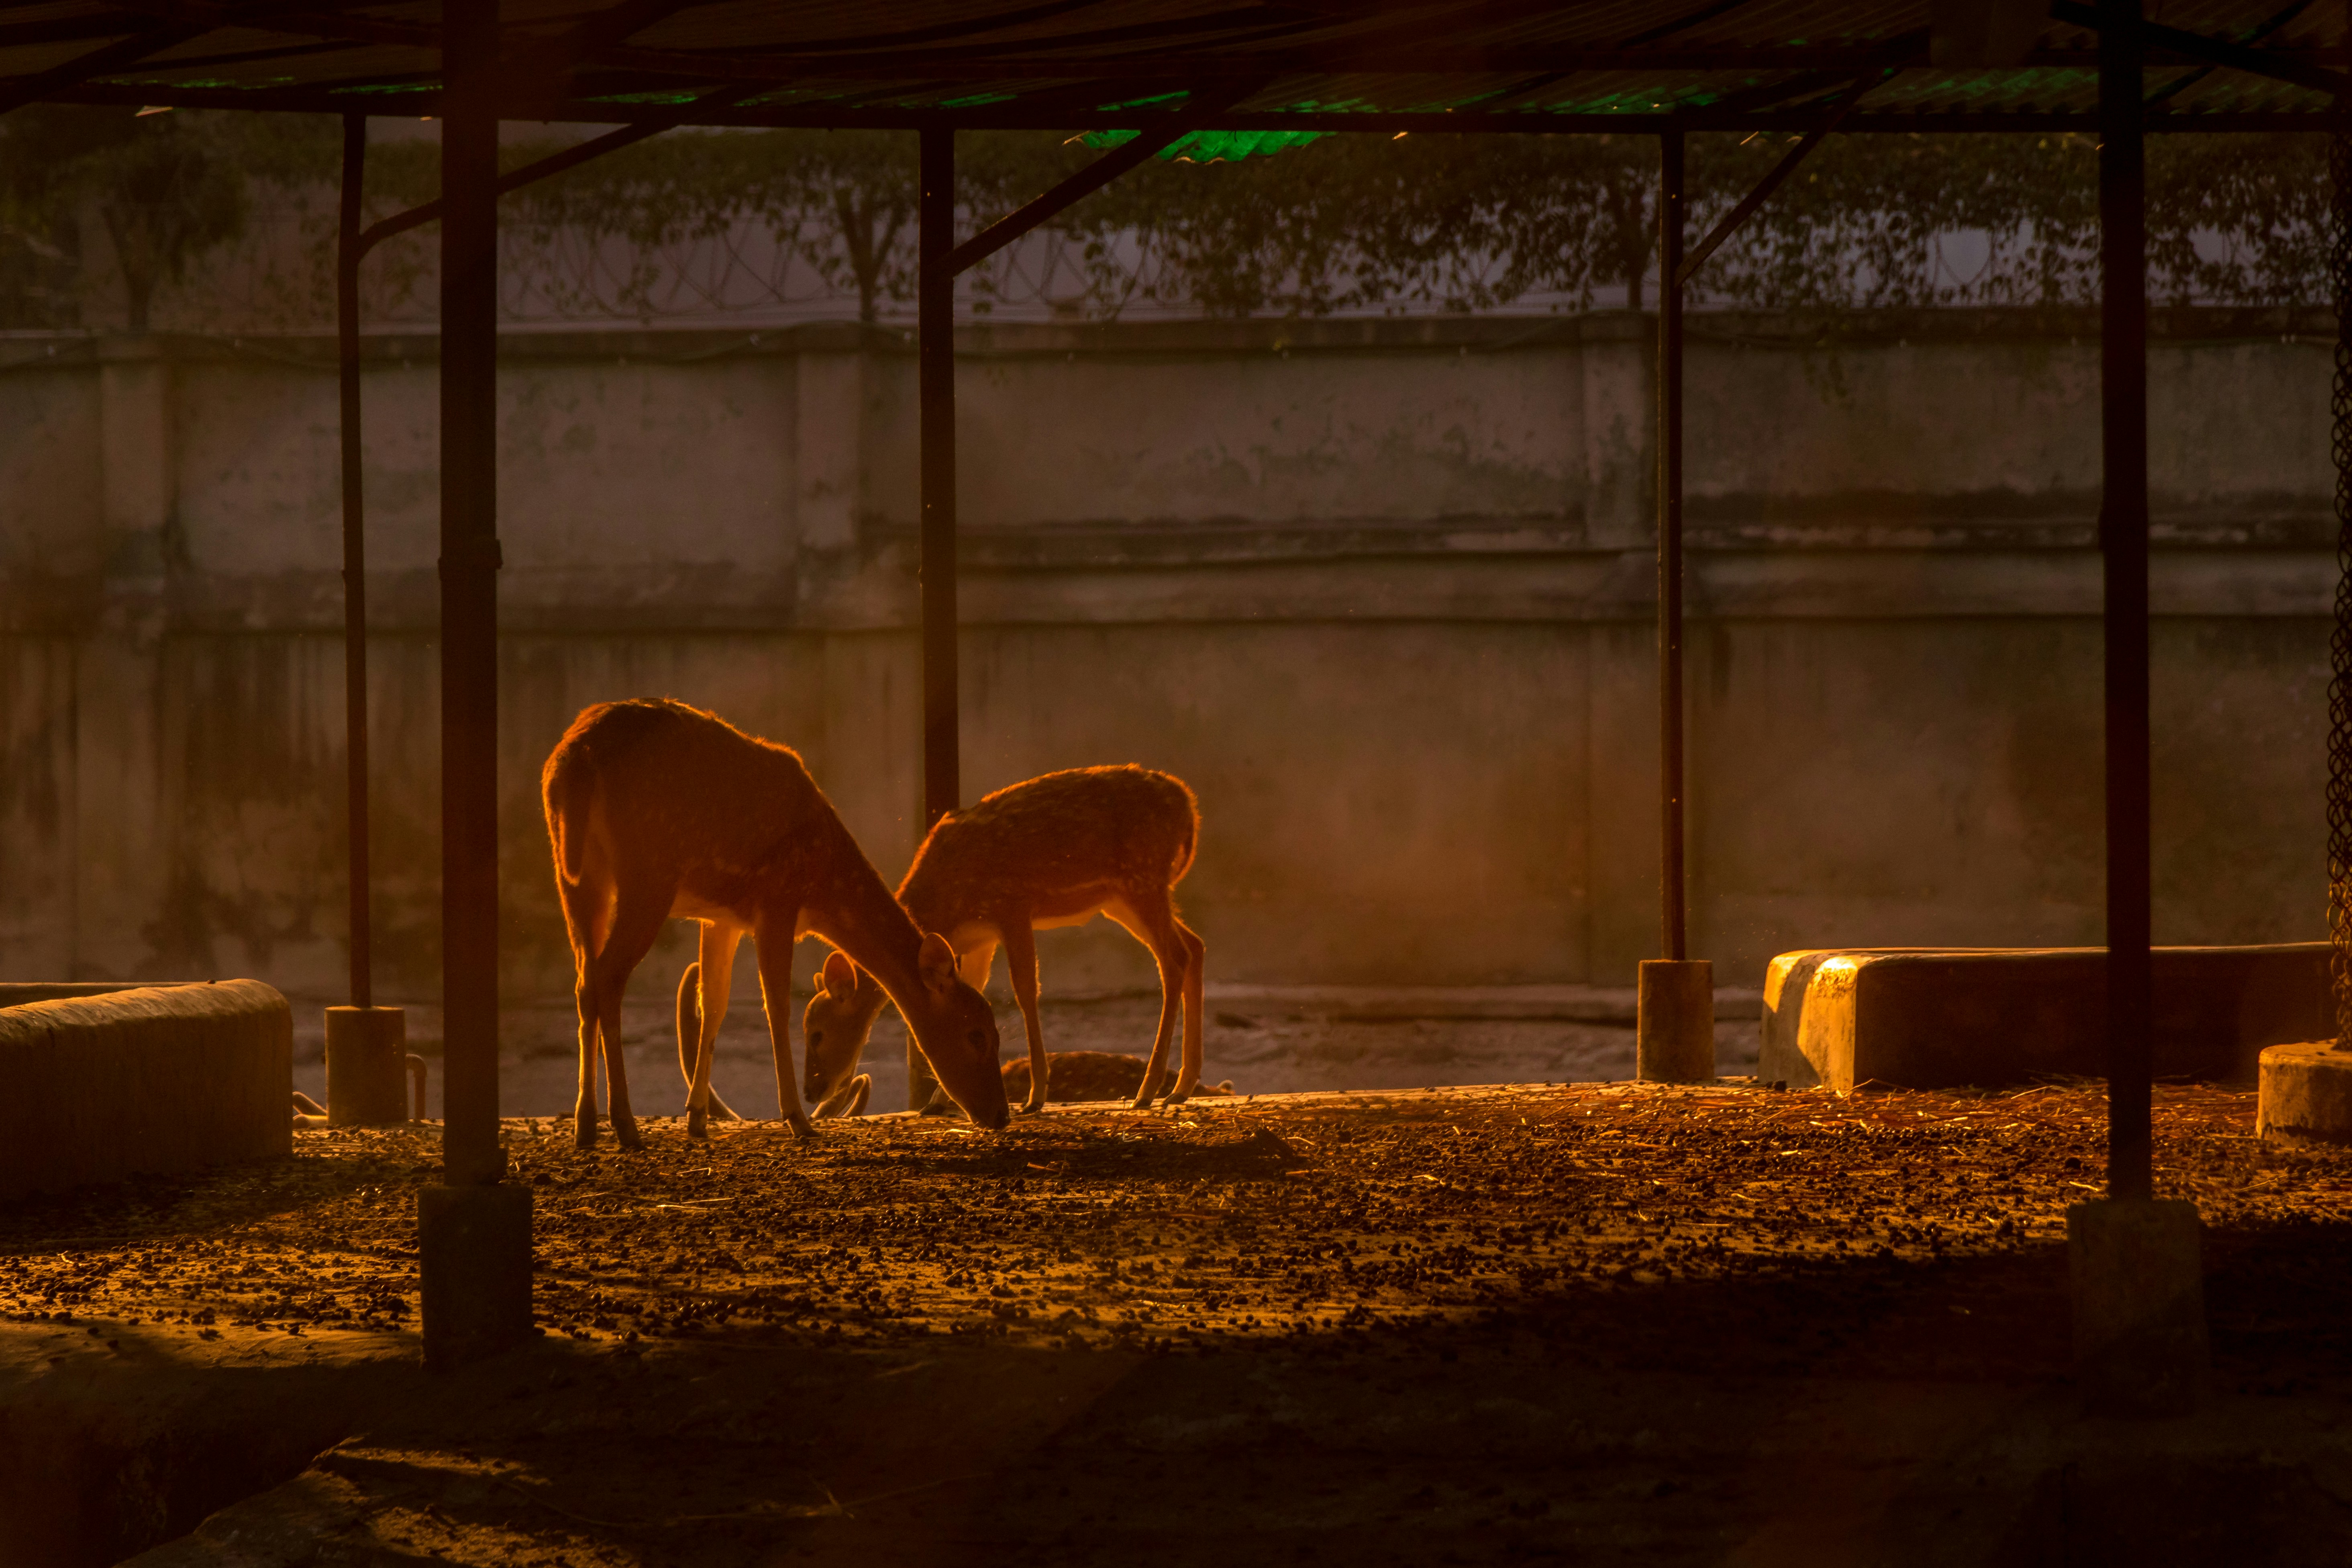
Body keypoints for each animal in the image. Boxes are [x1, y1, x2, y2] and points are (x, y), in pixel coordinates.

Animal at [541, 698, 1008, 1149]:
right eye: (977, 1034)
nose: (1002, 1115)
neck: (824, 885)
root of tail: (576, 757)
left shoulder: (722, 916)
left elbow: (714, 1003)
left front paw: (697, 1119)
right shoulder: (777, 901)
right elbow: (778, 1006)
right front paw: (798, 1120)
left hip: (575, 876)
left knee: (585, 981)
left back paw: (586, 1124)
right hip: (648, 872)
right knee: (608, 977)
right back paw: (624, 1124)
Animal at [770, 764, 1205, 1115]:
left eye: (817, 1032)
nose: (811, 1091)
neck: (948, 905)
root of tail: (1189, 806)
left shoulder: (1011, 906)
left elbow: (1026, 990)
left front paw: (1035, 1096)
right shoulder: (980, 937)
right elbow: (975, 989)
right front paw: (939, 1101)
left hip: (1141, 879)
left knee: (1174, 958)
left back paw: (1147, 1091)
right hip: (1123, 897)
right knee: (1195, 945)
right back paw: (1180, 1088)